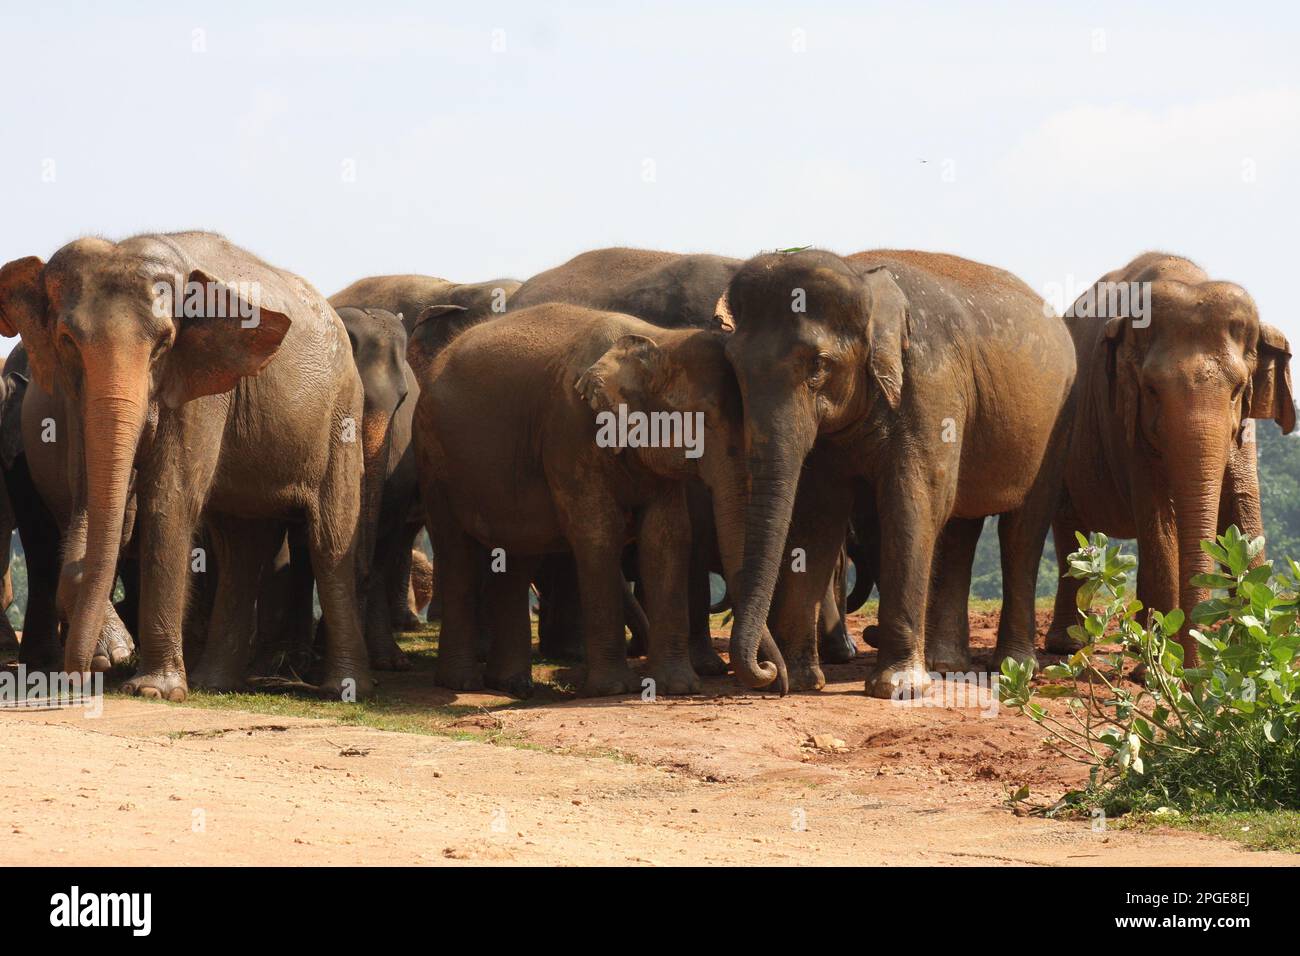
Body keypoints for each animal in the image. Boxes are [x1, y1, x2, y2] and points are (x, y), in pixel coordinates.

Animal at [0, 231, 371, 700]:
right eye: (67, 340)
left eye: (163, 344)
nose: (79, 678)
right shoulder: (69, 396)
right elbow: (80, 497)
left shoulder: (204, 387)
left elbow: (170, 499)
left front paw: (153, 690)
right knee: (241, 545)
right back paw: (214, 682)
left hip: (342, 416)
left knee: (329, 536)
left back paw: (343, 688)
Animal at [413, 302, 786, 698]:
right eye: (705, 420)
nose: (773, 679)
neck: (658, 339)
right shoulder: (570, 430)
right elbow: (598, 533)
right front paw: (615, 689)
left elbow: (667, 537)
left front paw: (680, 686)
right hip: (434, 461)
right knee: (457, 553)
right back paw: (462, 682)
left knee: (516, 559)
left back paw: (511, 684)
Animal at [718, 248, 1076, 697]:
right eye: (733, 367)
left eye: (819, 365)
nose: (770, 674)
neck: (862, 278)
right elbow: (818, 516)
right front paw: (803, 682)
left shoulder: (931, 385)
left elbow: (913, 502)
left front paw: (897, 688)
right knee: (961, 527)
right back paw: (946, 664)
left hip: (1055, 424)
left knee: (1022, 530)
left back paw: (1013, 666)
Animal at [1045, 253, 1295, 663]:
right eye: (1151, 390)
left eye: (1238, 390)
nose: (1197, 668)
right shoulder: (1123, 421)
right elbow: (1158, 520)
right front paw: (1166, 667)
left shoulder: (1245, 428)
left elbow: (1242, 508)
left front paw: (1259, 656)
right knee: (1068, 525)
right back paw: (1069, 646)